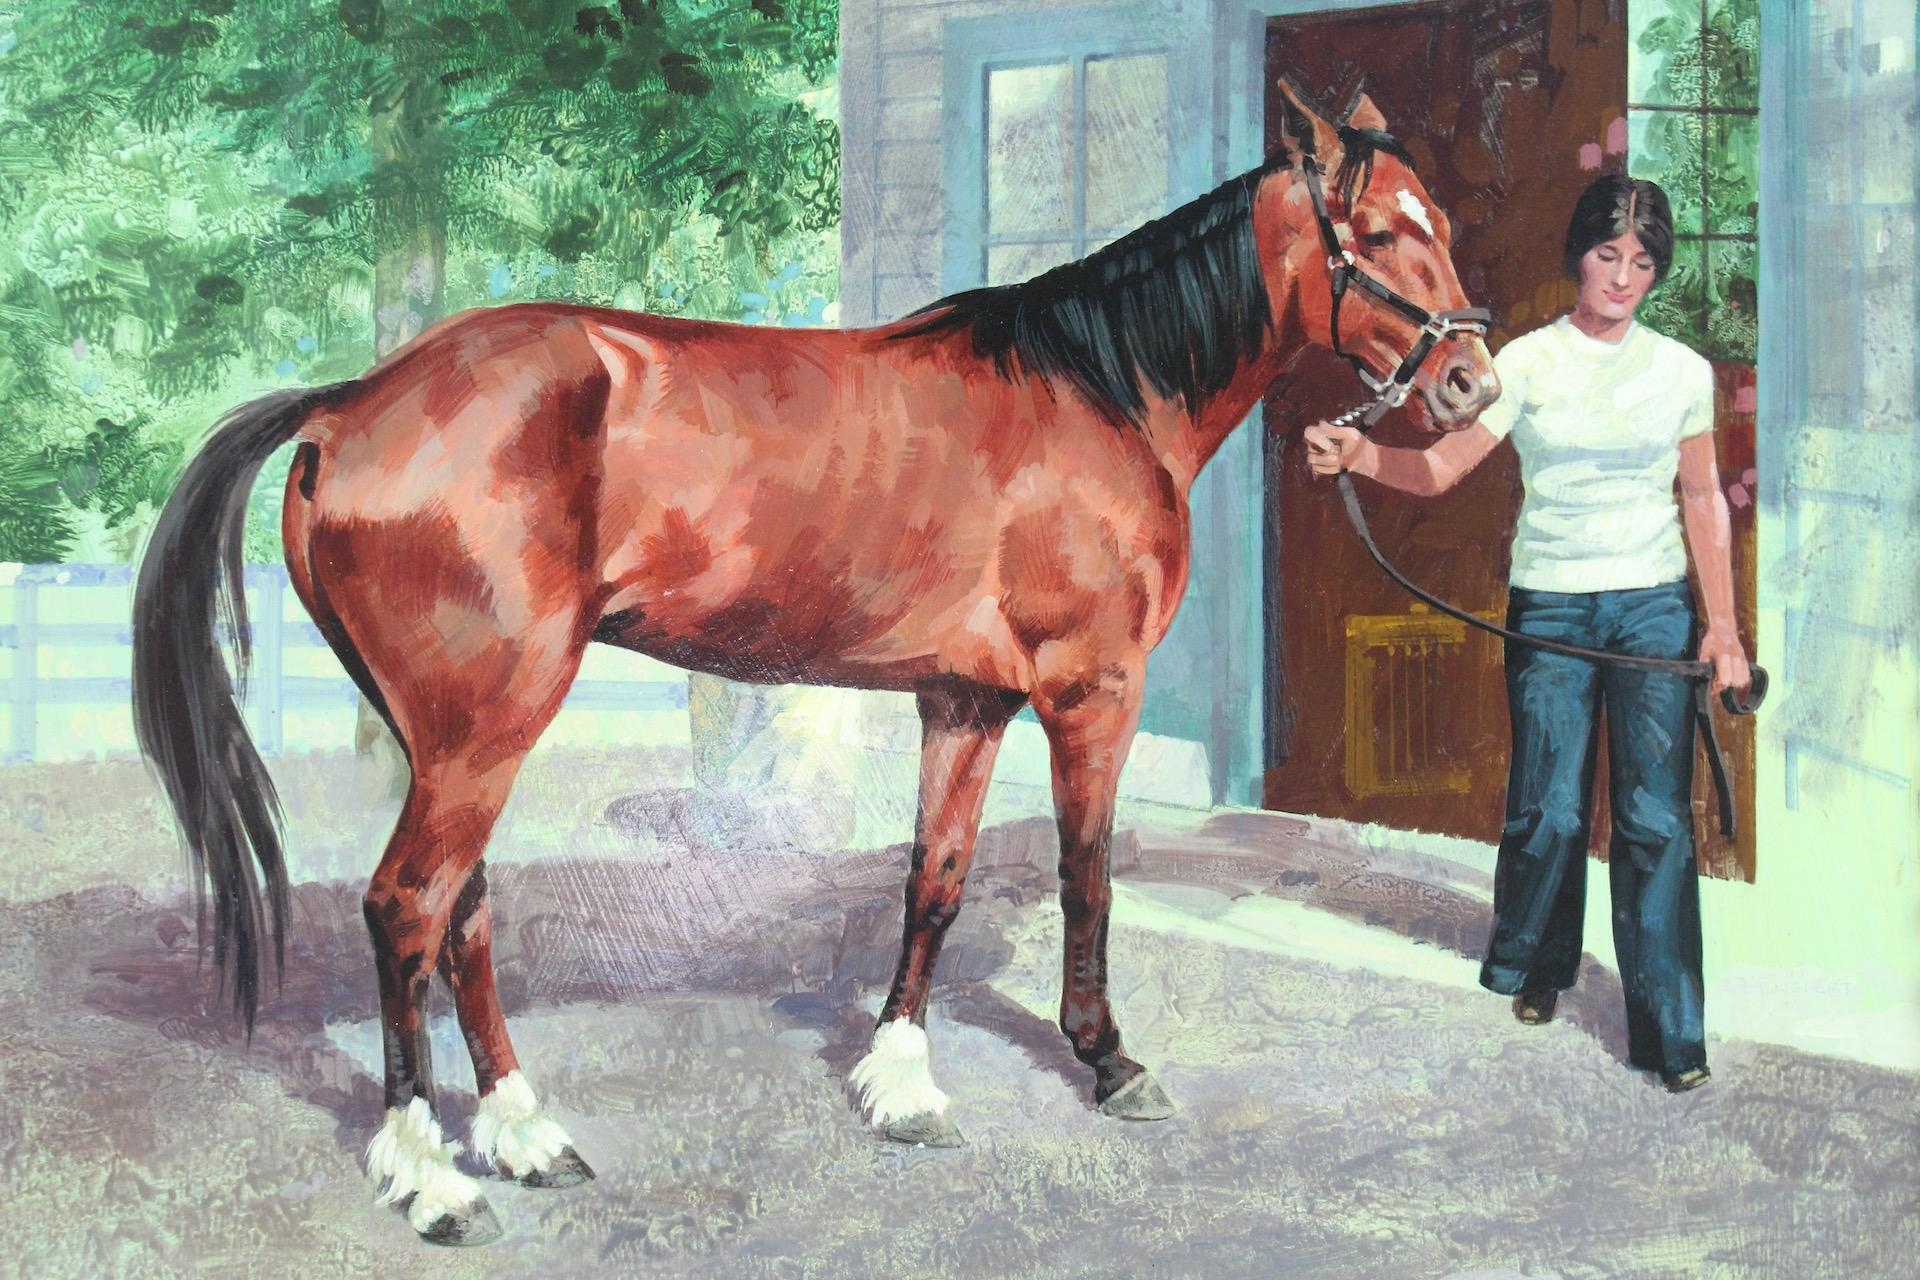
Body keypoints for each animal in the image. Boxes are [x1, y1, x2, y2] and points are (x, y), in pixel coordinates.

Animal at [130, 82, 1498, 1245]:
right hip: (485, 725)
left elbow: (933, 881)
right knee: (407, 906)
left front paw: (901, 1084)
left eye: (1439, 224)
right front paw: (1109, 1058)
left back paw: (525, 1134)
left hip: (455, 733)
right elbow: (1089, 875)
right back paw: (431, 1176)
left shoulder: (966, 701)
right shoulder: (1088, 691)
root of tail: (350, 401)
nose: (1471, 382)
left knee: (458, 911)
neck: (1100, 386)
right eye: (1379, 231)